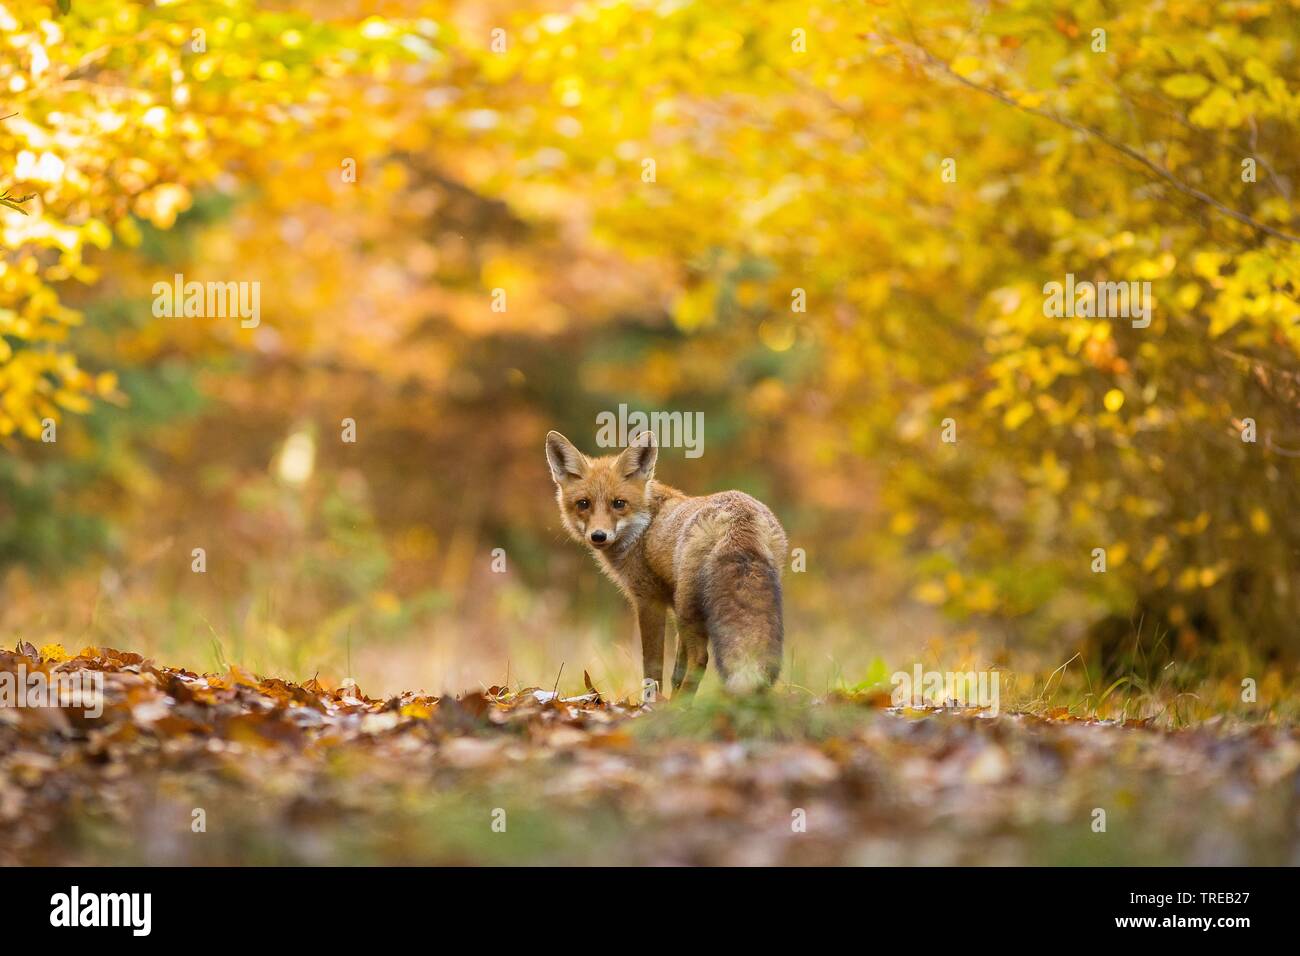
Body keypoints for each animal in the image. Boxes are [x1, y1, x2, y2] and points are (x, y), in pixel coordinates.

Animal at [545, 429, 787, 697]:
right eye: (583, 504)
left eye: (618, 503)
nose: (599, 536)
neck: (645, 526)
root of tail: (741, 517)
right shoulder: (671, 606)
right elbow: (676, 672)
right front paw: (669, 699)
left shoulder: (649, 600)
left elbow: (653, 668)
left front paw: (652, 702)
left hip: (687, 608)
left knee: (700, 659)